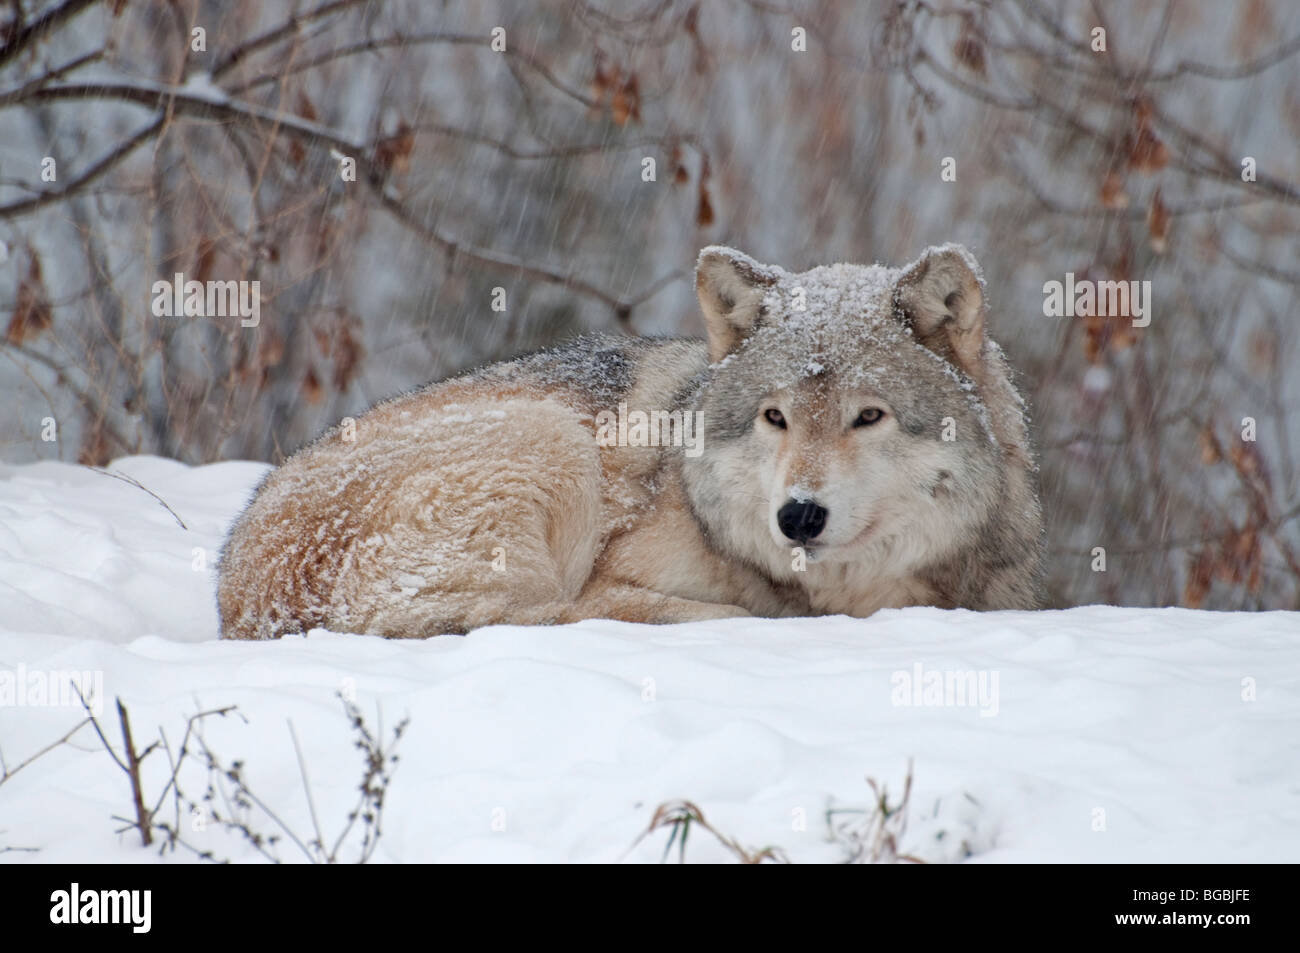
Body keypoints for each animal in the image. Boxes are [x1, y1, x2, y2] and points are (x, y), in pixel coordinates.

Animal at [218, 244, 1043, 639]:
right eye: (775, 418)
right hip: (551, 441)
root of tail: (239, 600)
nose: (798, 516)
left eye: (867, 416)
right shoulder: (613, 577)